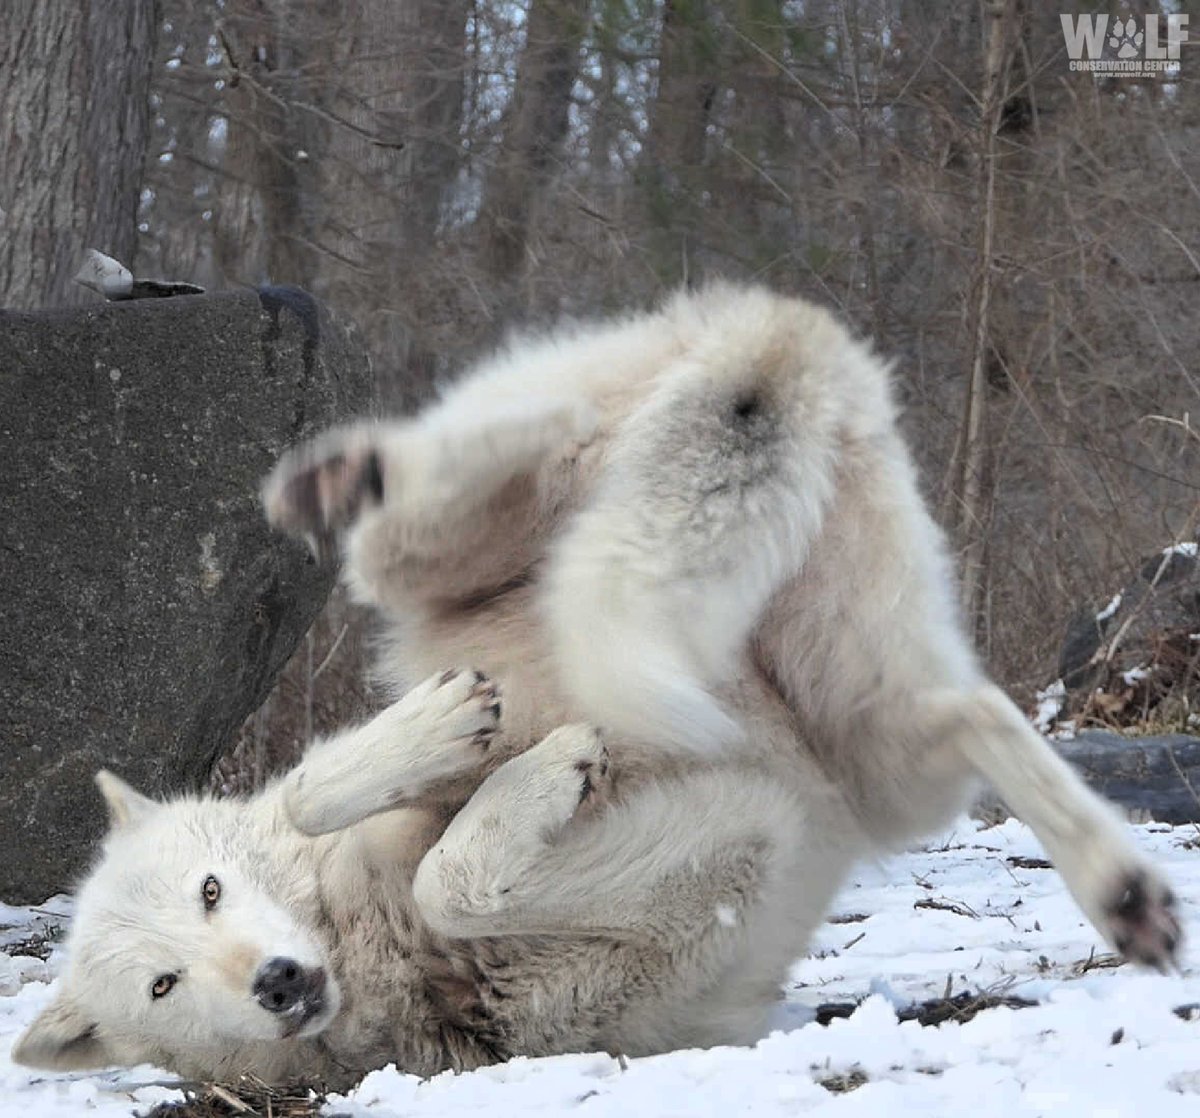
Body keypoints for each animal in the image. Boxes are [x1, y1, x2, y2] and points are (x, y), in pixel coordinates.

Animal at [16, 283, 1179, 1087]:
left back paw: (386, 473)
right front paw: (550, 768)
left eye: (210, 892)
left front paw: (461, 738)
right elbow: (454, 877)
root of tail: (765, 347)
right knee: (977, 711)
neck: (365, 939)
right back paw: (1128, 899)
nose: (276, 983)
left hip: (442, 563)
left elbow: (315, 796)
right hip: (876, 738)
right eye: (162, 983)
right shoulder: (745, 844)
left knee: (489, 470)